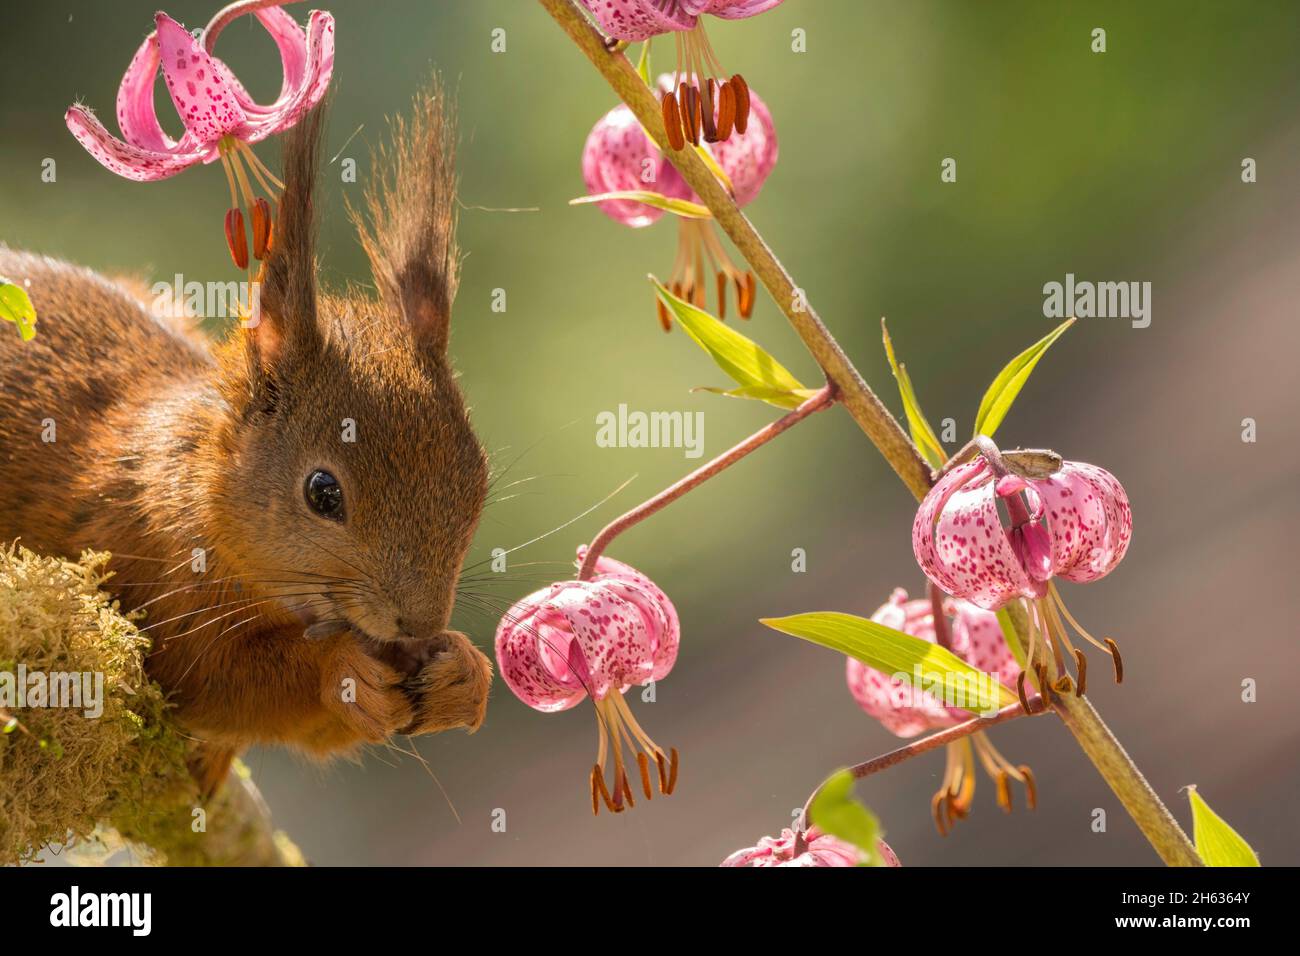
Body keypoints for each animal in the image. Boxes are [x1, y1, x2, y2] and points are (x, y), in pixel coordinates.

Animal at [0, 85, 493, 795]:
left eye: (478, 481)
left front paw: (466, 672)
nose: (421, 623)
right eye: (323, 492)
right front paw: (342, 671)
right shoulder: (151, 571)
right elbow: (213, 680)